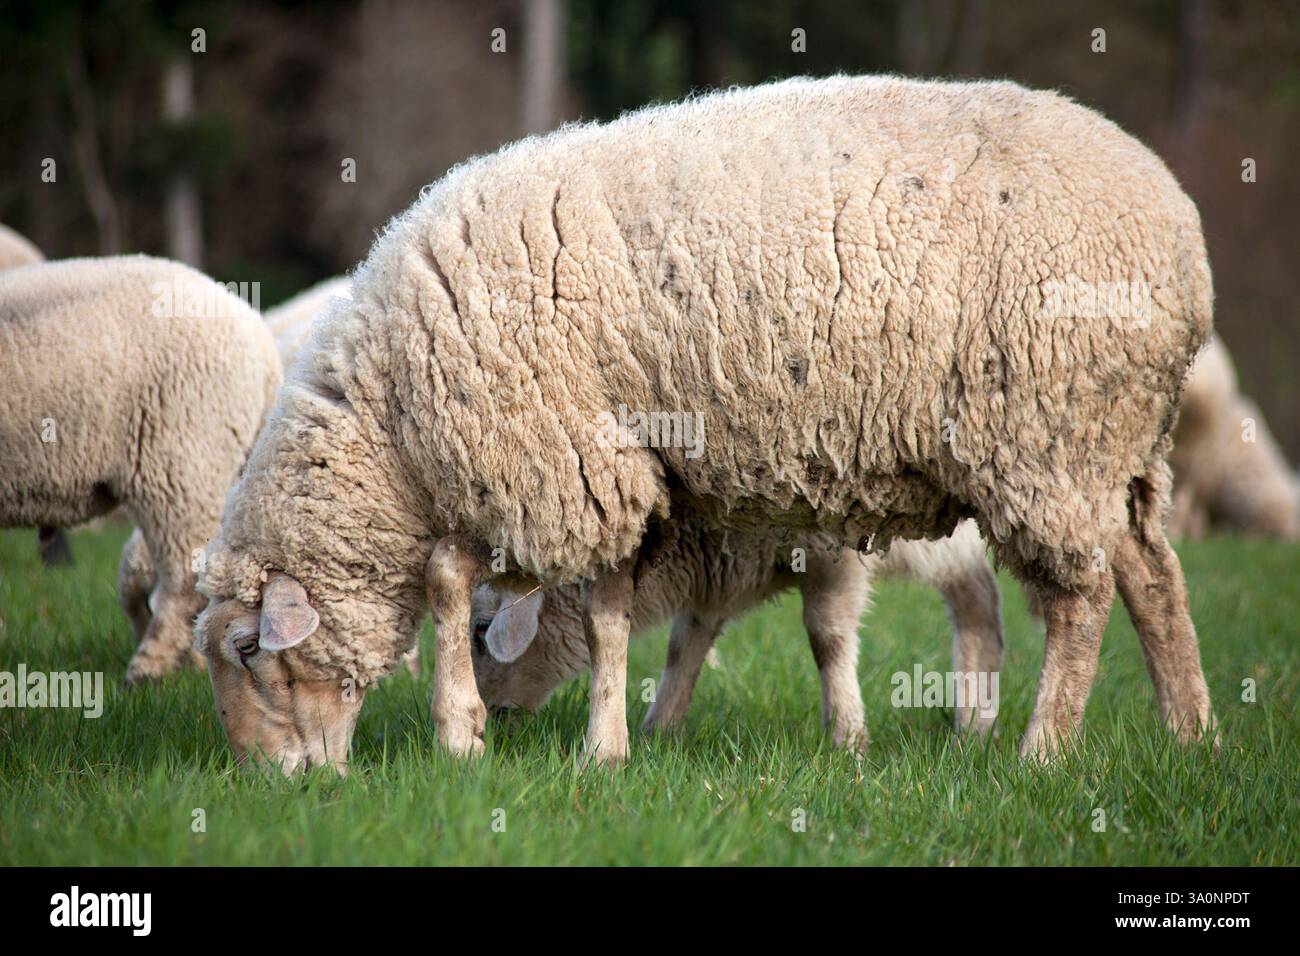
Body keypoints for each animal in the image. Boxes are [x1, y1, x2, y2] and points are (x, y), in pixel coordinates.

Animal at [471, 515, 1002, 750]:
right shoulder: (713, 578)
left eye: (481, 630)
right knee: (980, 604)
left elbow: (828, 639)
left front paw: (848, 738)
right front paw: (657, 732)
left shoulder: (834, 553)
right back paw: (976, 722)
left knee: (981, 604)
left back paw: (975, 725)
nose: (490, 718)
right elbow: (683, 651)